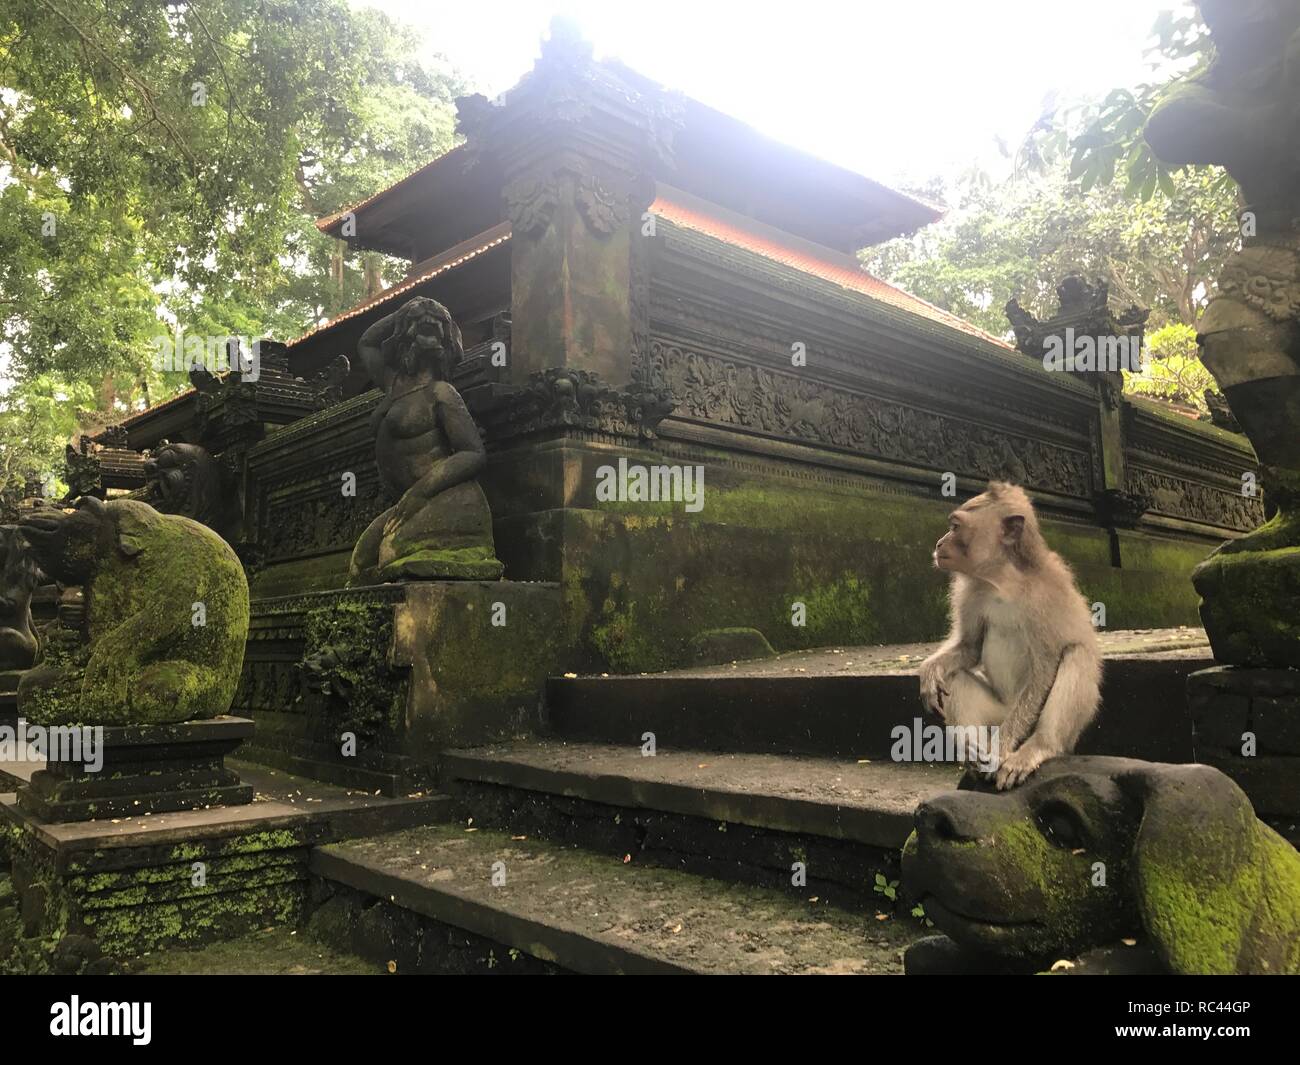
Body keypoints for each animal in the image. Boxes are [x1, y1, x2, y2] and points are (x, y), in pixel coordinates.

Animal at [918, 482, 1101, 789]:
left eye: (955, 527)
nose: (939, 543)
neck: (1003, 581)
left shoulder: (1044, 599)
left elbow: (1044, 669)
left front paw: (1000, 750)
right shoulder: (969, 592)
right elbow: (970, 647)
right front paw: (930, 672)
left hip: (1046, 722)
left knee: (1077, 655)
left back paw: (1037, 747)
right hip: (998, 713)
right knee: (956, 678)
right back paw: (973, 751)